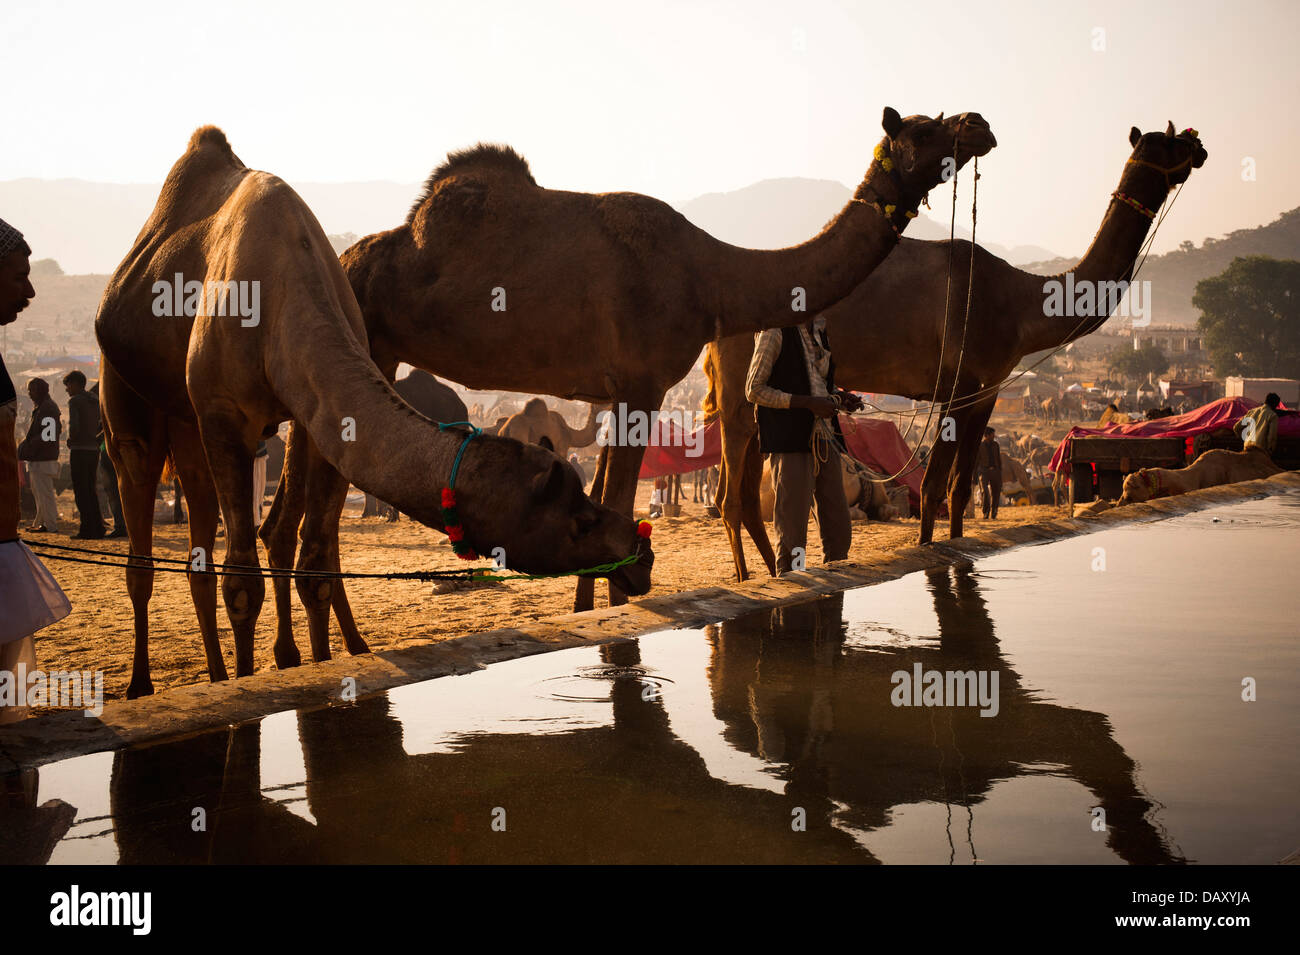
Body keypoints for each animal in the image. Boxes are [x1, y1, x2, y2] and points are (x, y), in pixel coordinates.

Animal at [95, 127, 654, 697]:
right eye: (578, 521)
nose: (641, 553)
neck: (281, 302)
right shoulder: (225, 416)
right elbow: (243, 584)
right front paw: (251, 688)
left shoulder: (316, 418)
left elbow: (316, 566)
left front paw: (319, 669)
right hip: (126, 396)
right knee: (140, 522)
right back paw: (144, 685)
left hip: (187, 424)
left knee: (198, 547)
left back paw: (217, 672)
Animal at [258, 108, 998, 635]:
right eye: (924, 126)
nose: (980, 125)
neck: (708, 276)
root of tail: (346, 258)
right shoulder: (642, 385)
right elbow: (613, 505)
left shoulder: (615, 392)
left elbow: (607, 500)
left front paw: (593, 612)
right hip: (366, 339)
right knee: (314, 520)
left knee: (296, 520)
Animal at [706, 122, 1206, 578]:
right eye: (1168, 140)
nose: (1198, 147)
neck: (1018, 301)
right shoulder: (954, 383)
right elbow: (932, 487)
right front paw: (929, 554)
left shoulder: (987, 390)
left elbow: (961, 488)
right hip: (739, 385)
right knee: (730, 493)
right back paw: (749, 578)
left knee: (744, 493)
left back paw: (769, 574)